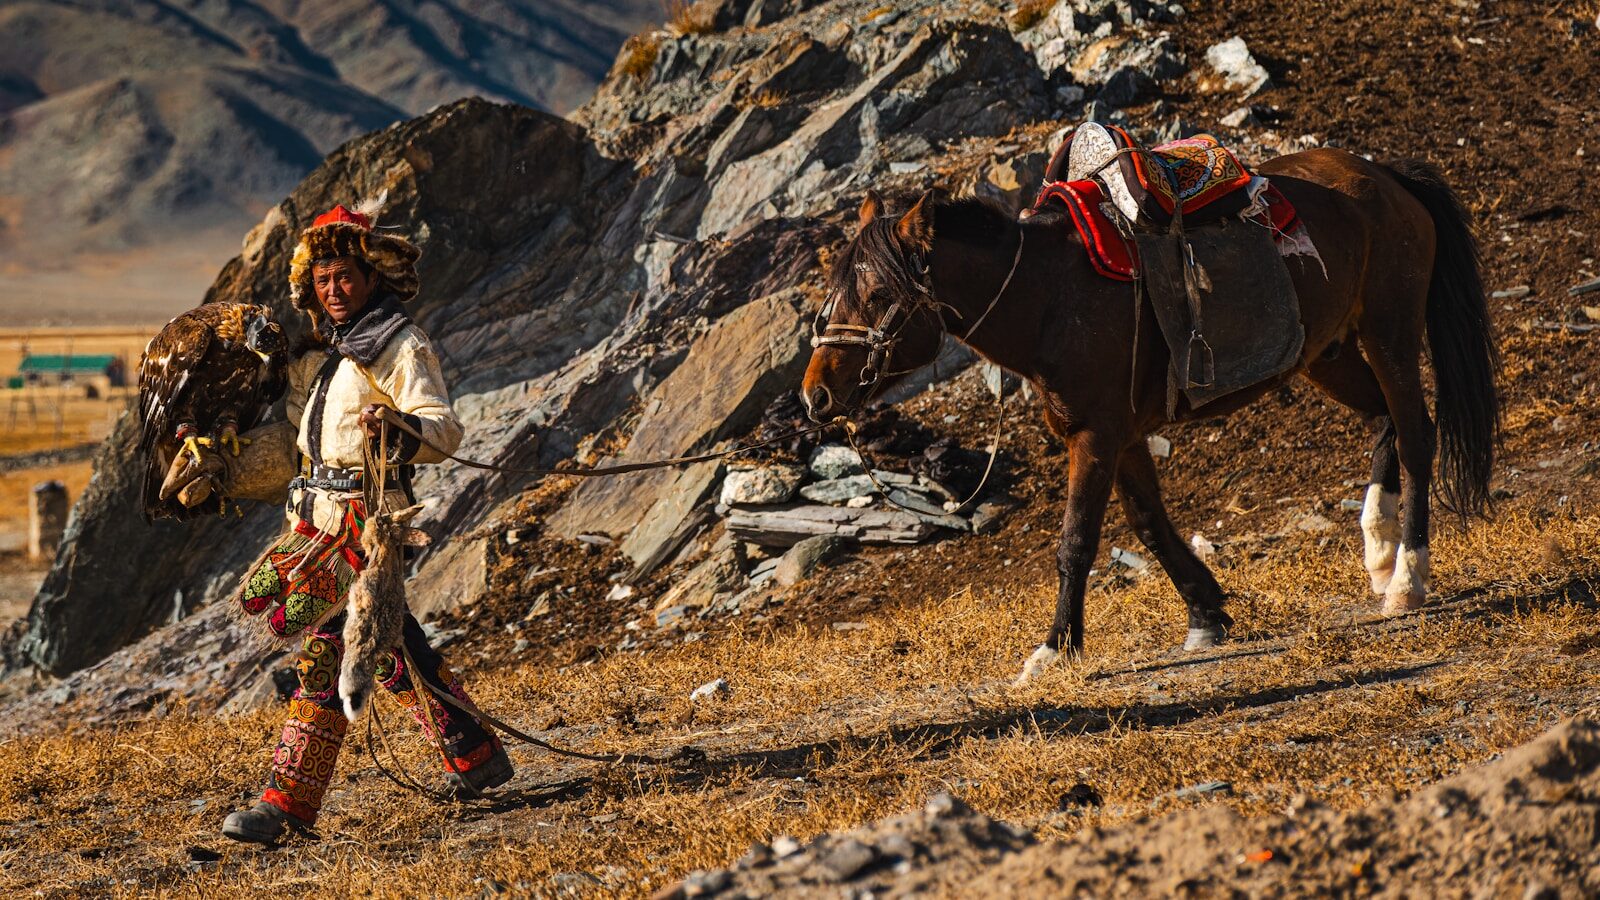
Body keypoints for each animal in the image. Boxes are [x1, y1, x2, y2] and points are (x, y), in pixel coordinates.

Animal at [800, 147, 1499, 683]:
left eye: (880, 294)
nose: (816, 397)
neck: (1048, 298)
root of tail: (1388, 177)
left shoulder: (1095, 436)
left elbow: (1077, 541)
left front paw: (1053, 651)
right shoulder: (1124, 438)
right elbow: (1150, 525)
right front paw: (1207, 615)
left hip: (1389, 334)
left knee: (1415, 437)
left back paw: (1407, 579)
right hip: (1328, 353)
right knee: (1386, 422)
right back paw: (1378, 551)